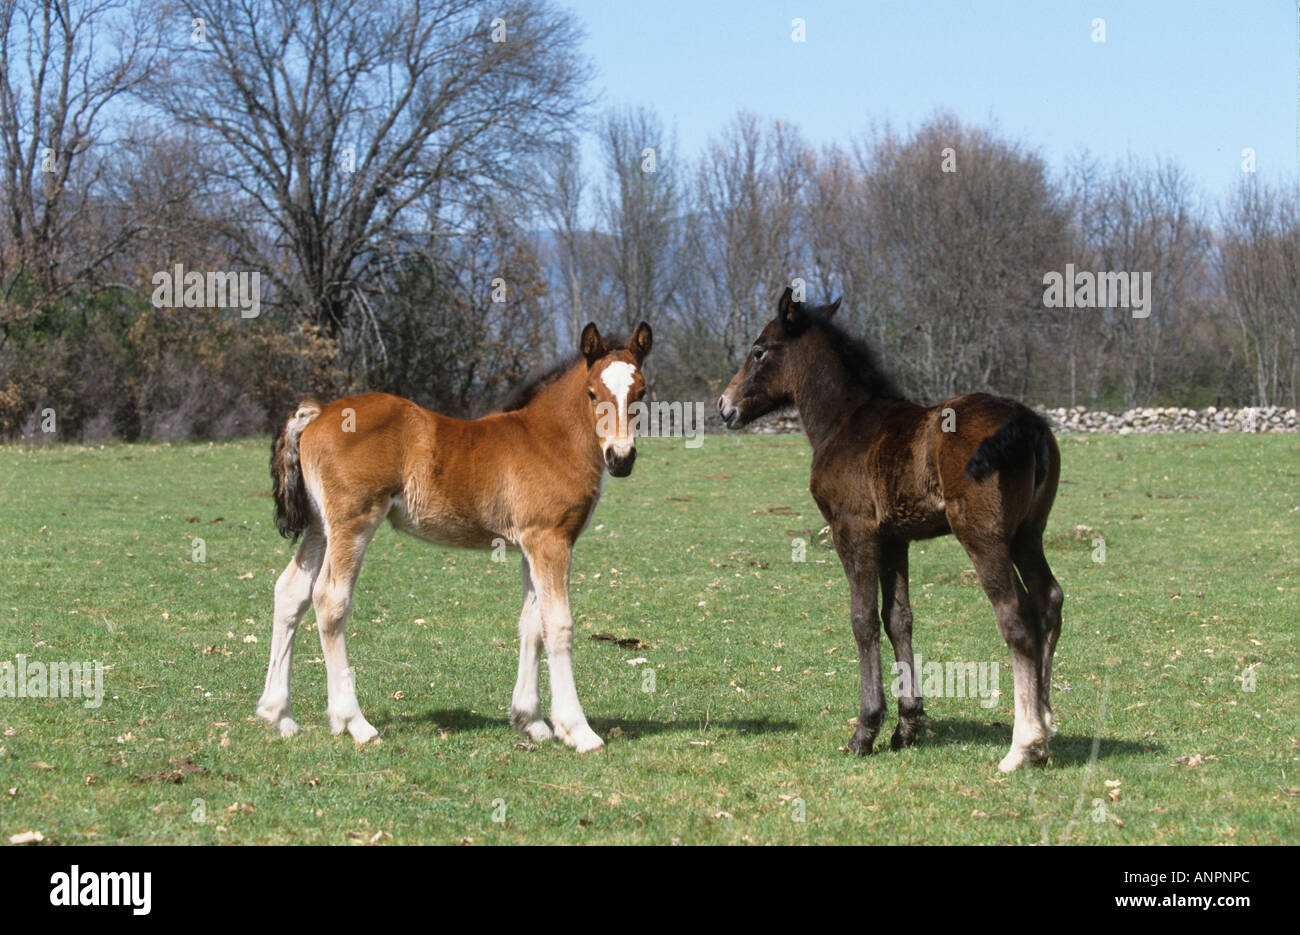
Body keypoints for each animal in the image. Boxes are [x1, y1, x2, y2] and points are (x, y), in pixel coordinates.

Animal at [256, 321, 653, 753]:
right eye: (592, 392)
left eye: (641, 392)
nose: (621, 458)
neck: (548, 440)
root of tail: (319, 412)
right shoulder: (551, 540)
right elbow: (559, 626)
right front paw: (577, 729)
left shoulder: (529, 546)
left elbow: (531, 625)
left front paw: (531, 721)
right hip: (353, 522)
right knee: (329, 599)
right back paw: (354, 722)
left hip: (318, 526)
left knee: (290, 592)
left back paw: (279, 715)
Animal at [718, 288, 1062, 772]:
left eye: (759, 350)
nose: (724, 407)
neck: (843, 422)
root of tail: (1029, 423)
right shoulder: (895, 538)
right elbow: (898, 618)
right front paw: (907, 726)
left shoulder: (853, 531)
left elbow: (863, 619)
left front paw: (866, 729)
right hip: (1028, 534)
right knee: (1050, 600)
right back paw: (1046, 730)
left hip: (984, 537)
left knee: (1016, 615)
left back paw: (1023, 744)